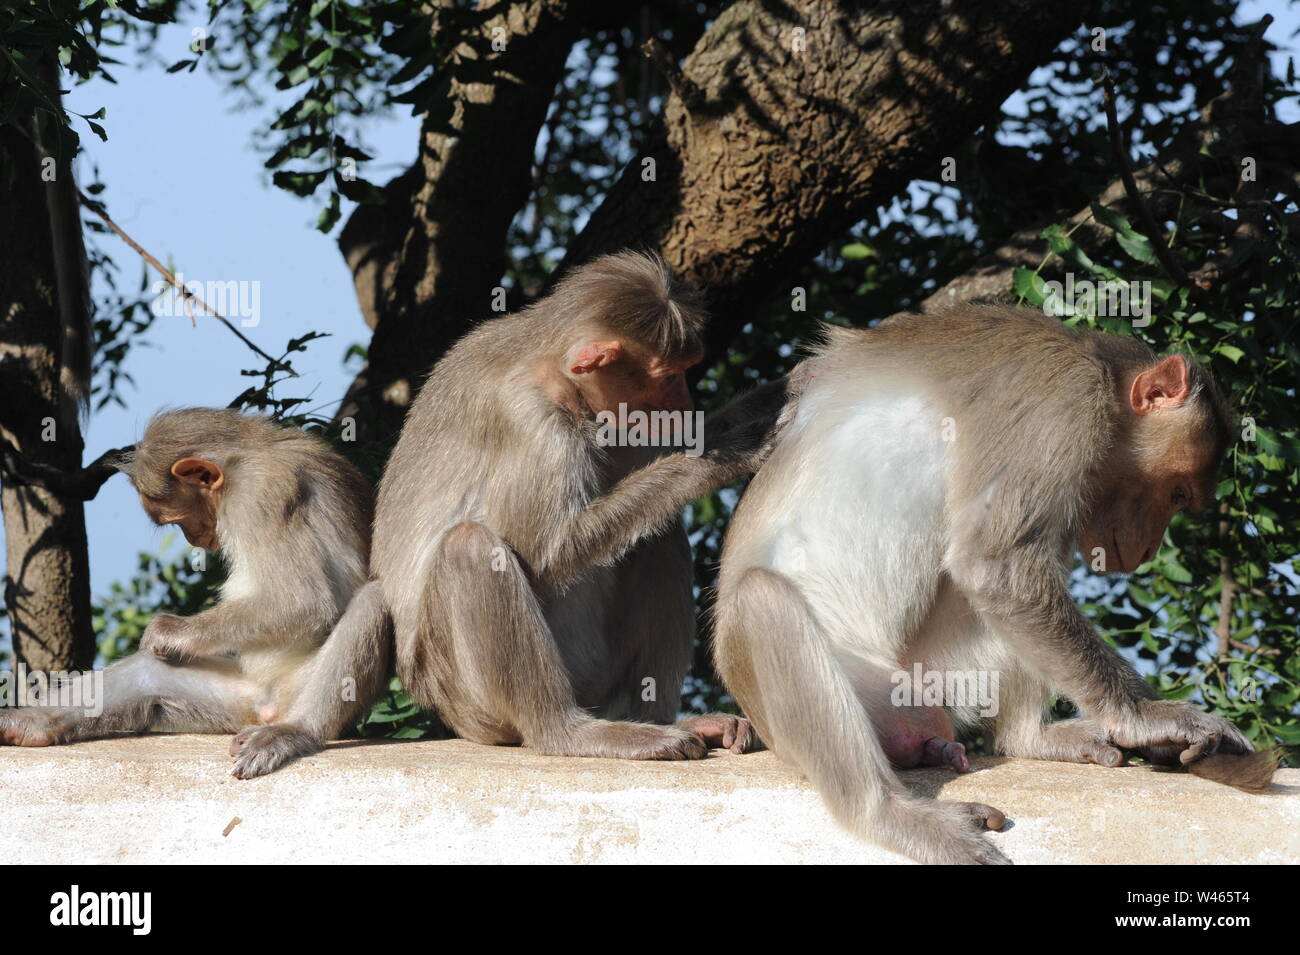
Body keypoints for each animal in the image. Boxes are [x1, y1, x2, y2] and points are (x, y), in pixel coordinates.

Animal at [0, 409, 390, 766]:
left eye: (178, 519)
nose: (192, 537)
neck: (245, 457)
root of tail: (269, 706)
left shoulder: (260, 493)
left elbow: (307, 600)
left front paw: (168, 631)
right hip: (241, 700)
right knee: (150, 674)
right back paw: (31, 724)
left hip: (303, 687)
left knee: (372, 601)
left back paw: (295, 732)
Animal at [230, 251, 787, 776]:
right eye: (670, 375)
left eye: (687, 372)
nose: (686, 404)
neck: (550, 364)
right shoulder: (531, 419)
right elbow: (547, 555)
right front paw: (721, 453)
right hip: (469, 700)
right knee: (472, 548)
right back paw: (567, 733)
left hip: (593, 679)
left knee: (657, 535)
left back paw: (656, 717)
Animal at [713, 304, 1264, 865]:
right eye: (1177, 492)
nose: (1150, 548)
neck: (1101, 371)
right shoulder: (1064, 401)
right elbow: (996, 564)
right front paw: (1145, 717)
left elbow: (1003, 569)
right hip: (844, 694)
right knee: (764, 599)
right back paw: (885, 814)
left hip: (935, 674)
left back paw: (1028, 738)